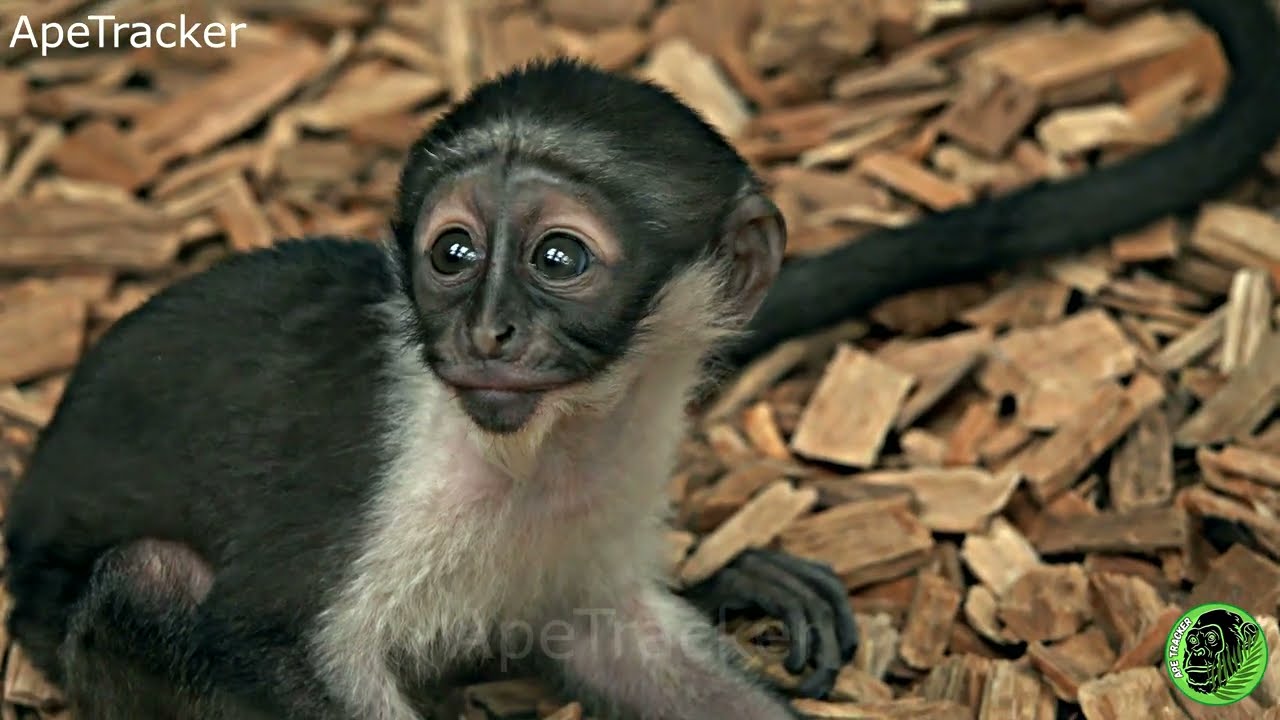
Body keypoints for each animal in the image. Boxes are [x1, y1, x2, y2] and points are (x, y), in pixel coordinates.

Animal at [3, 0, 1280, 718]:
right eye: (453, 253)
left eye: (556, 258)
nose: (483, 331)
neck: (541, 447)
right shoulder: (362, 476)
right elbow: (263, 635)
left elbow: (617, 642)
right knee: (151, 580)